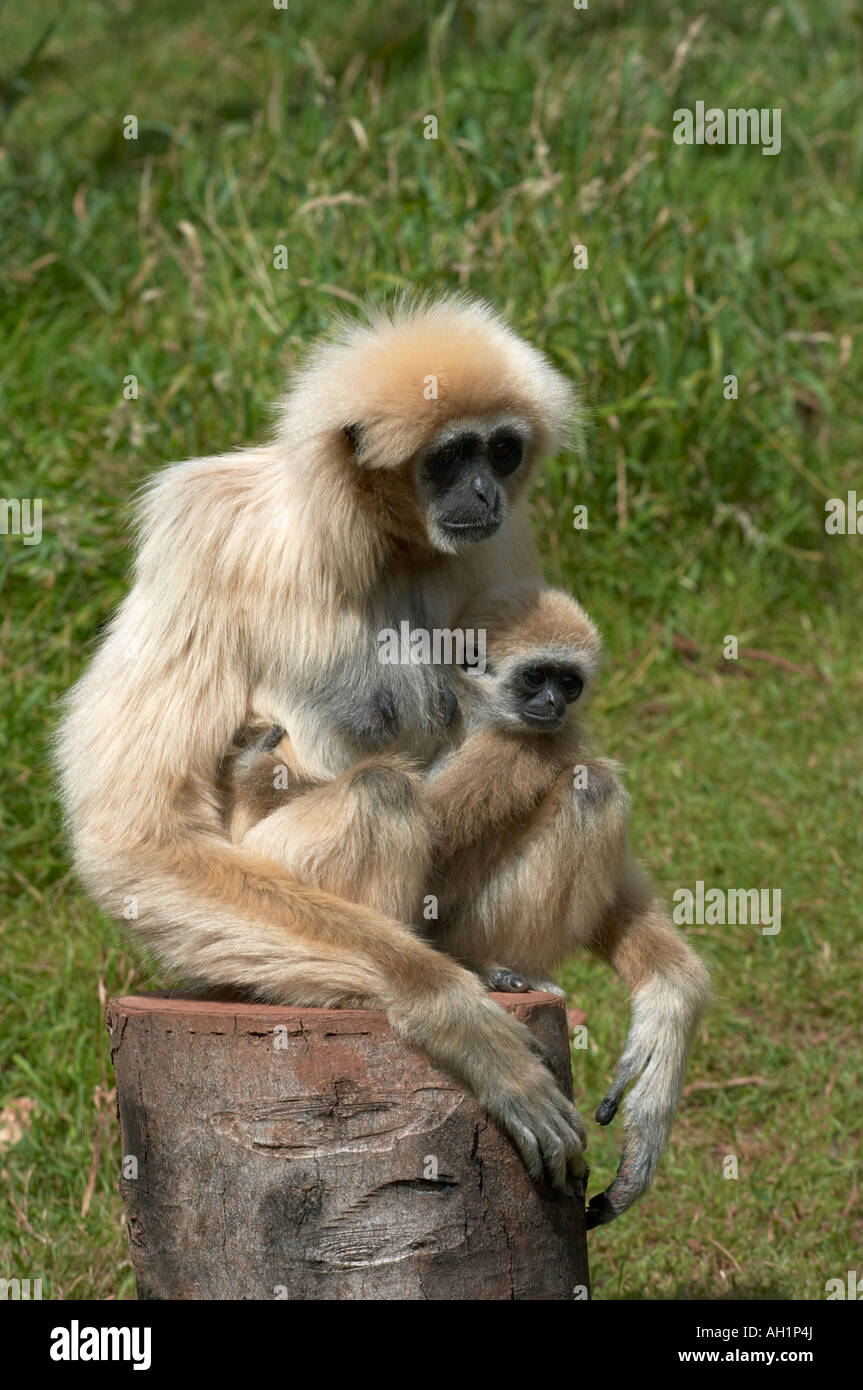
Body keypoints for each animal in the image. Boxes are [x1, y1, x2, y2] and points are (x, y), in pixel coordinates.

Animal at [57, 294, 590, 1195]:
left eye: (502, 449)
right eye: (451, 456)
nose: (486, 485)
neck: (378, 544)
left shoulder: (501, 540)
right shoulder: (204, 528)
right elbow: (137, 836)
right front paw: (445, 1009)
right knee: (381, 792)